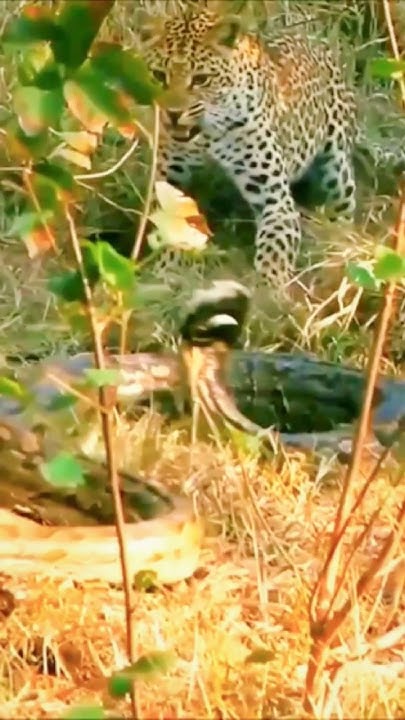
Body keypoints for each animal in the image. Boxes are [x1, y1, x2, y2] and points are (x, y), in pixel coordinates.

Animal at [139, 5, 358, 293]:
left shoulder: (274, 197)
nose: (173, 114)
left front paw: (271, 287)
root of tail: (312, 39)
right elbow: (170, 228)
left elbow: (276, 245)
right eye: (158, 75)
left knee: (343, 204)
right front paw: (166, 271)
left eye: (200, 79)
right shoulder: (170, 182)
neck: (206, 136)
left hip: (337, 169)